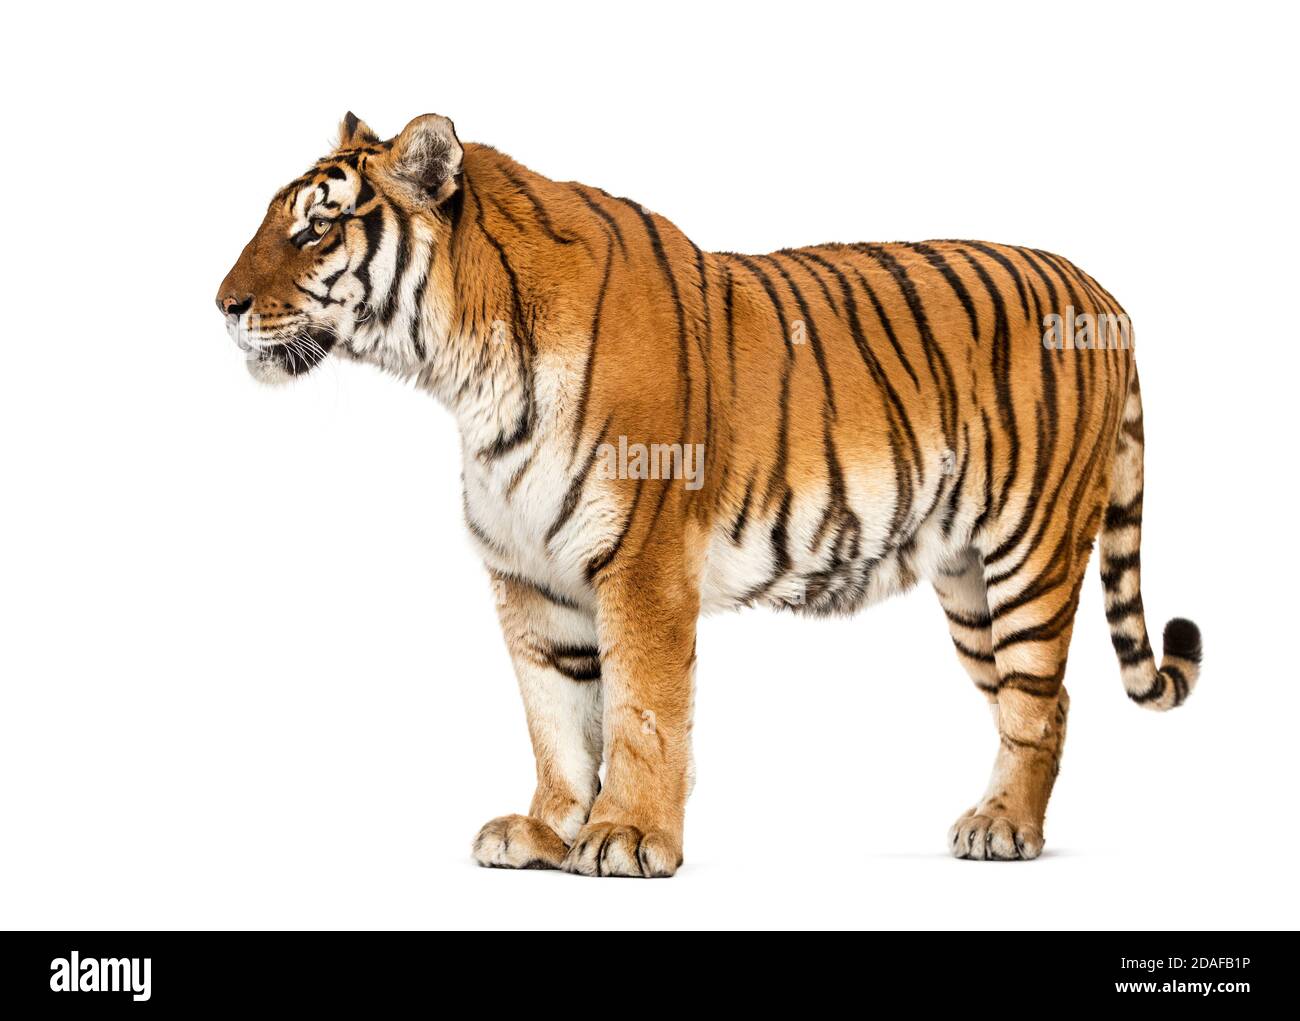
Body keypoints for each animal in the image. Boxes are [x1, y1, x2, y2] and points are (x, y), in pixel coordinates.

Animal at [216, 111, 1202, 876]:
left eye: (315, 230)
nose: (222, 305)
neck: (464, 370)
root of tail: (1104, 294)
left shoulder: (643, 563)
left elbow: (643, 711)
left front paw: (626, 837)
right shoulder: (529, 578)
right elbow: (557, 718)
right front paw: (547, 829)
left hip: (1030, 552)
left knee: (1042, 702)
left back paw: (1005, 830)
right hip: (965, 580)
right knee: (1028, 701)